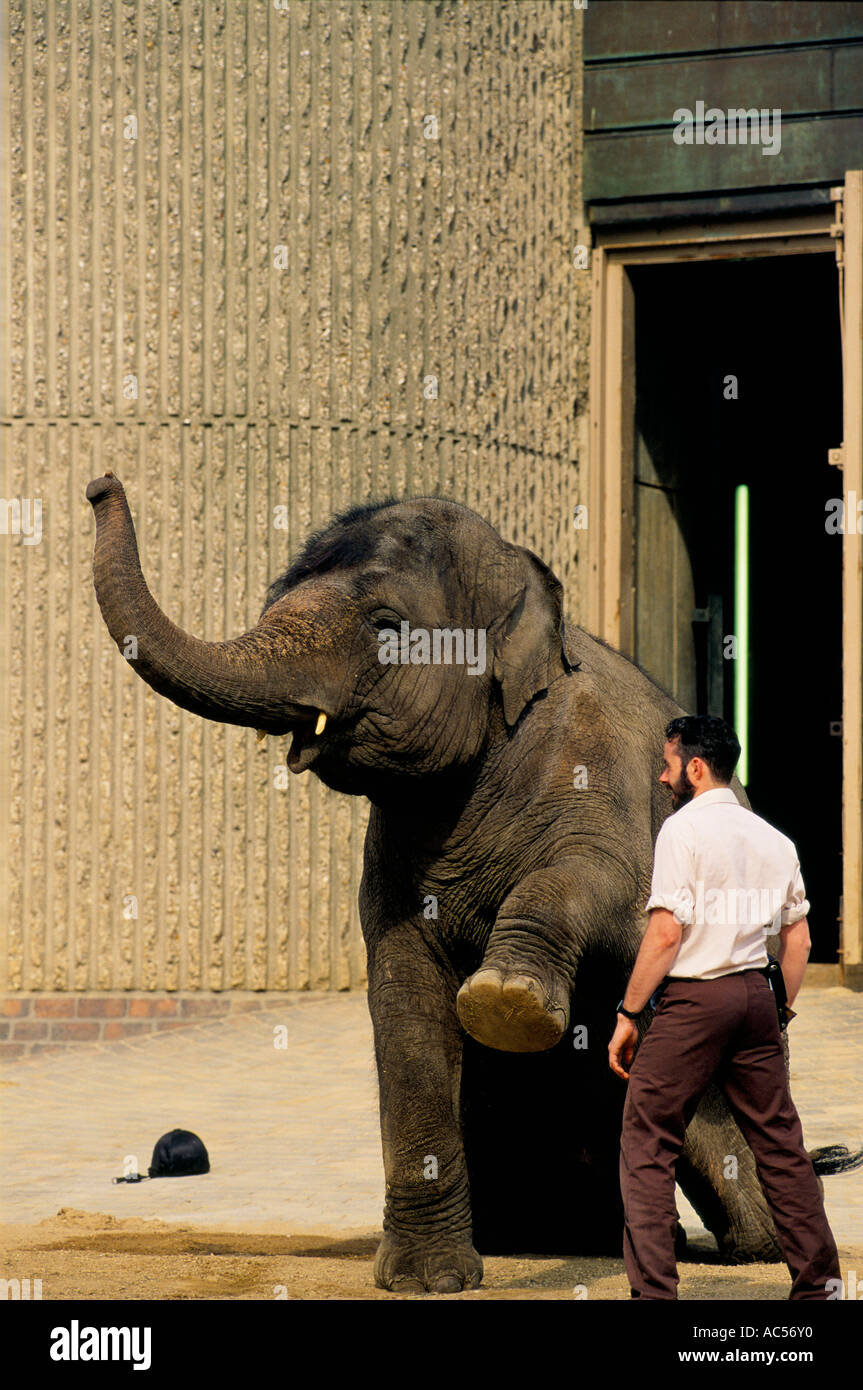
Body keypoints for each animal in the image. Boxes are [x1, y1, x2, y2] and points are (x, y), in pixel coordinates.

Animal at [86, 472, 860, 1294]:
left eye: (387, 626)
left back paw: (745, 1240)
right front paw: (427, 1281)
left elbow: (619, 904)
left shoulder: (605, 775)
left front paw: (504, 1000)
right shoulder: (395, 851)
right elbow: (404, 1002)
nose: (100, 485)